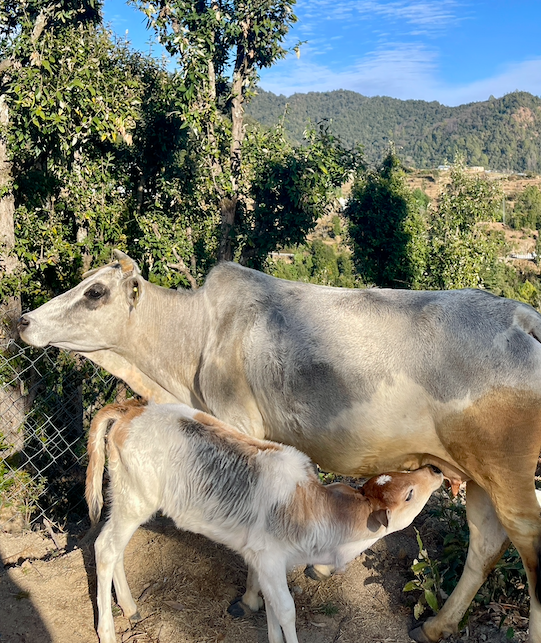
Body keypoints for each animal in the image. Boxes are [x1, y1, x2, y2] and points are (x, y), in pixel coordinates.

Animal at [86, 399, 444, 643]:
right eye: (410, 494)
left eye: (403, 474)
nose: (435, 469)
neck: (316, 510)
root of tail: (131, 409)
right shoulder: (269, 557)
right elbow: (285, 610)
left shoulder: (267, 565)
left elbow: (271, 611)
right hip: (135, 501)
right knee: (104, 548)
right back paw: (107, 630)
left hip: (123, 499)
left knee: (114, 550)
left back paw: (130, 607)